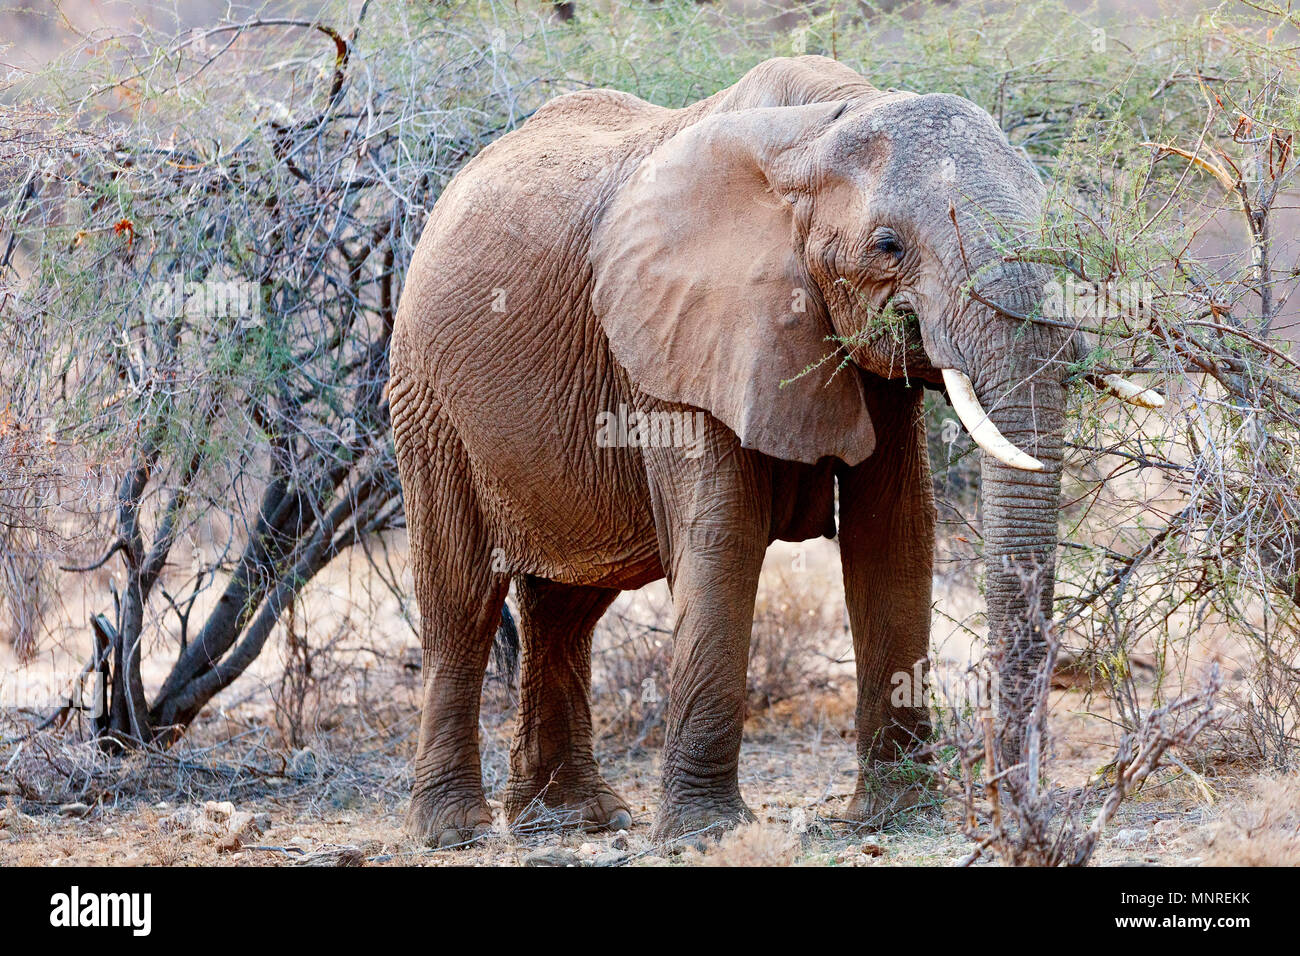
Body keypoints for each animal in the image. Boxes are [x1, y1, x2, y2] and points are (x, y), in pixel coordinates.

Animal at [388, 55, 1159, 846]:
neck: (817, 131)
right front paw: (706, 833)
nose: (1012, 816)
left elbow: (897, 534)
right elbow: (724, 536)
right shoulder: (675, 341)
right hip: (425, 399)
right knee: (462, 603)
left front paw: (900, 817)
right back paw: (456, 830)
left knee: (563, 608)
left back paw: (575, 820)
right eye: (888, 246)